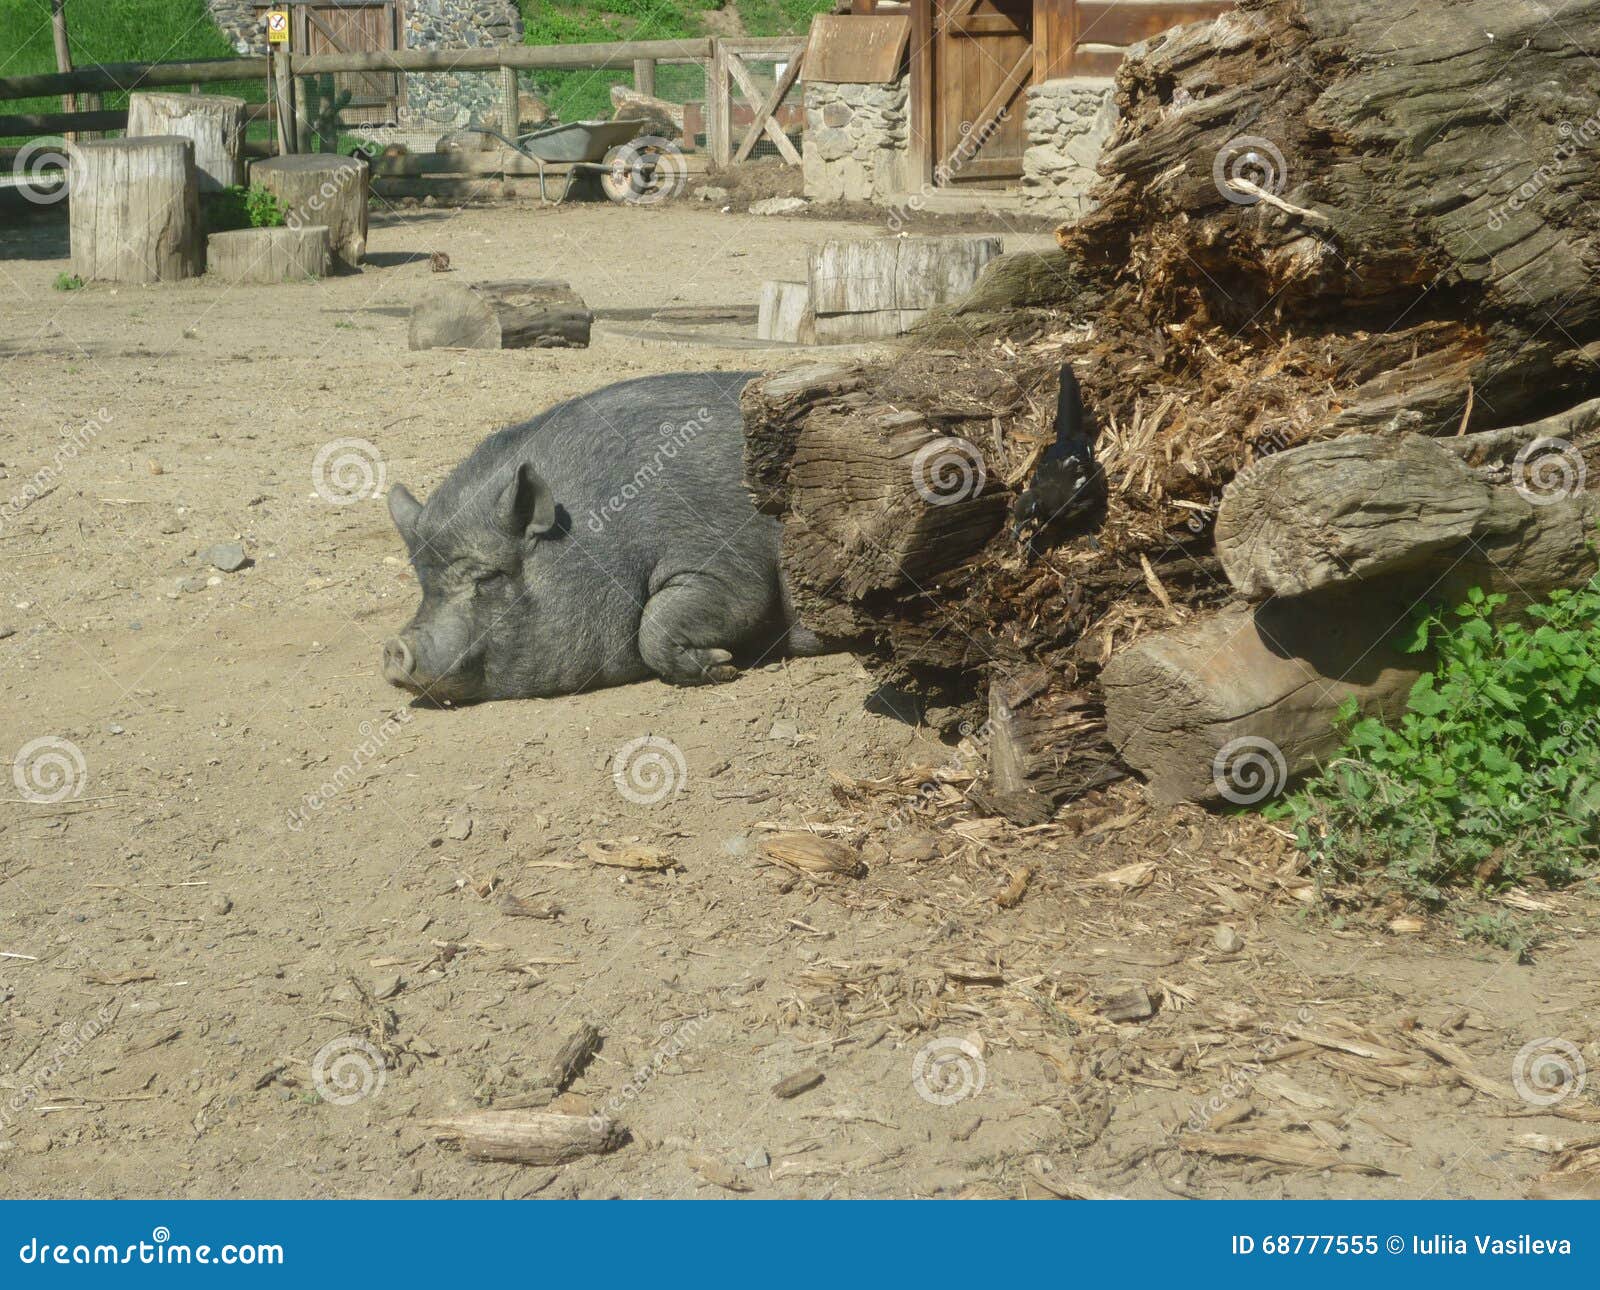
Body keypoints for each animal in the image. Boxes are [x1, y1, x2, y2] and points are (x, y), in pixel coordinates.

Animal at [382, 371, 819, 704]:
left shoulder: (726, 561)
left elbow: (661, 618)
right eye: (423, 583)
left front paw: (723, 664)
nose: (393, 647)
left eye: (487, 577)